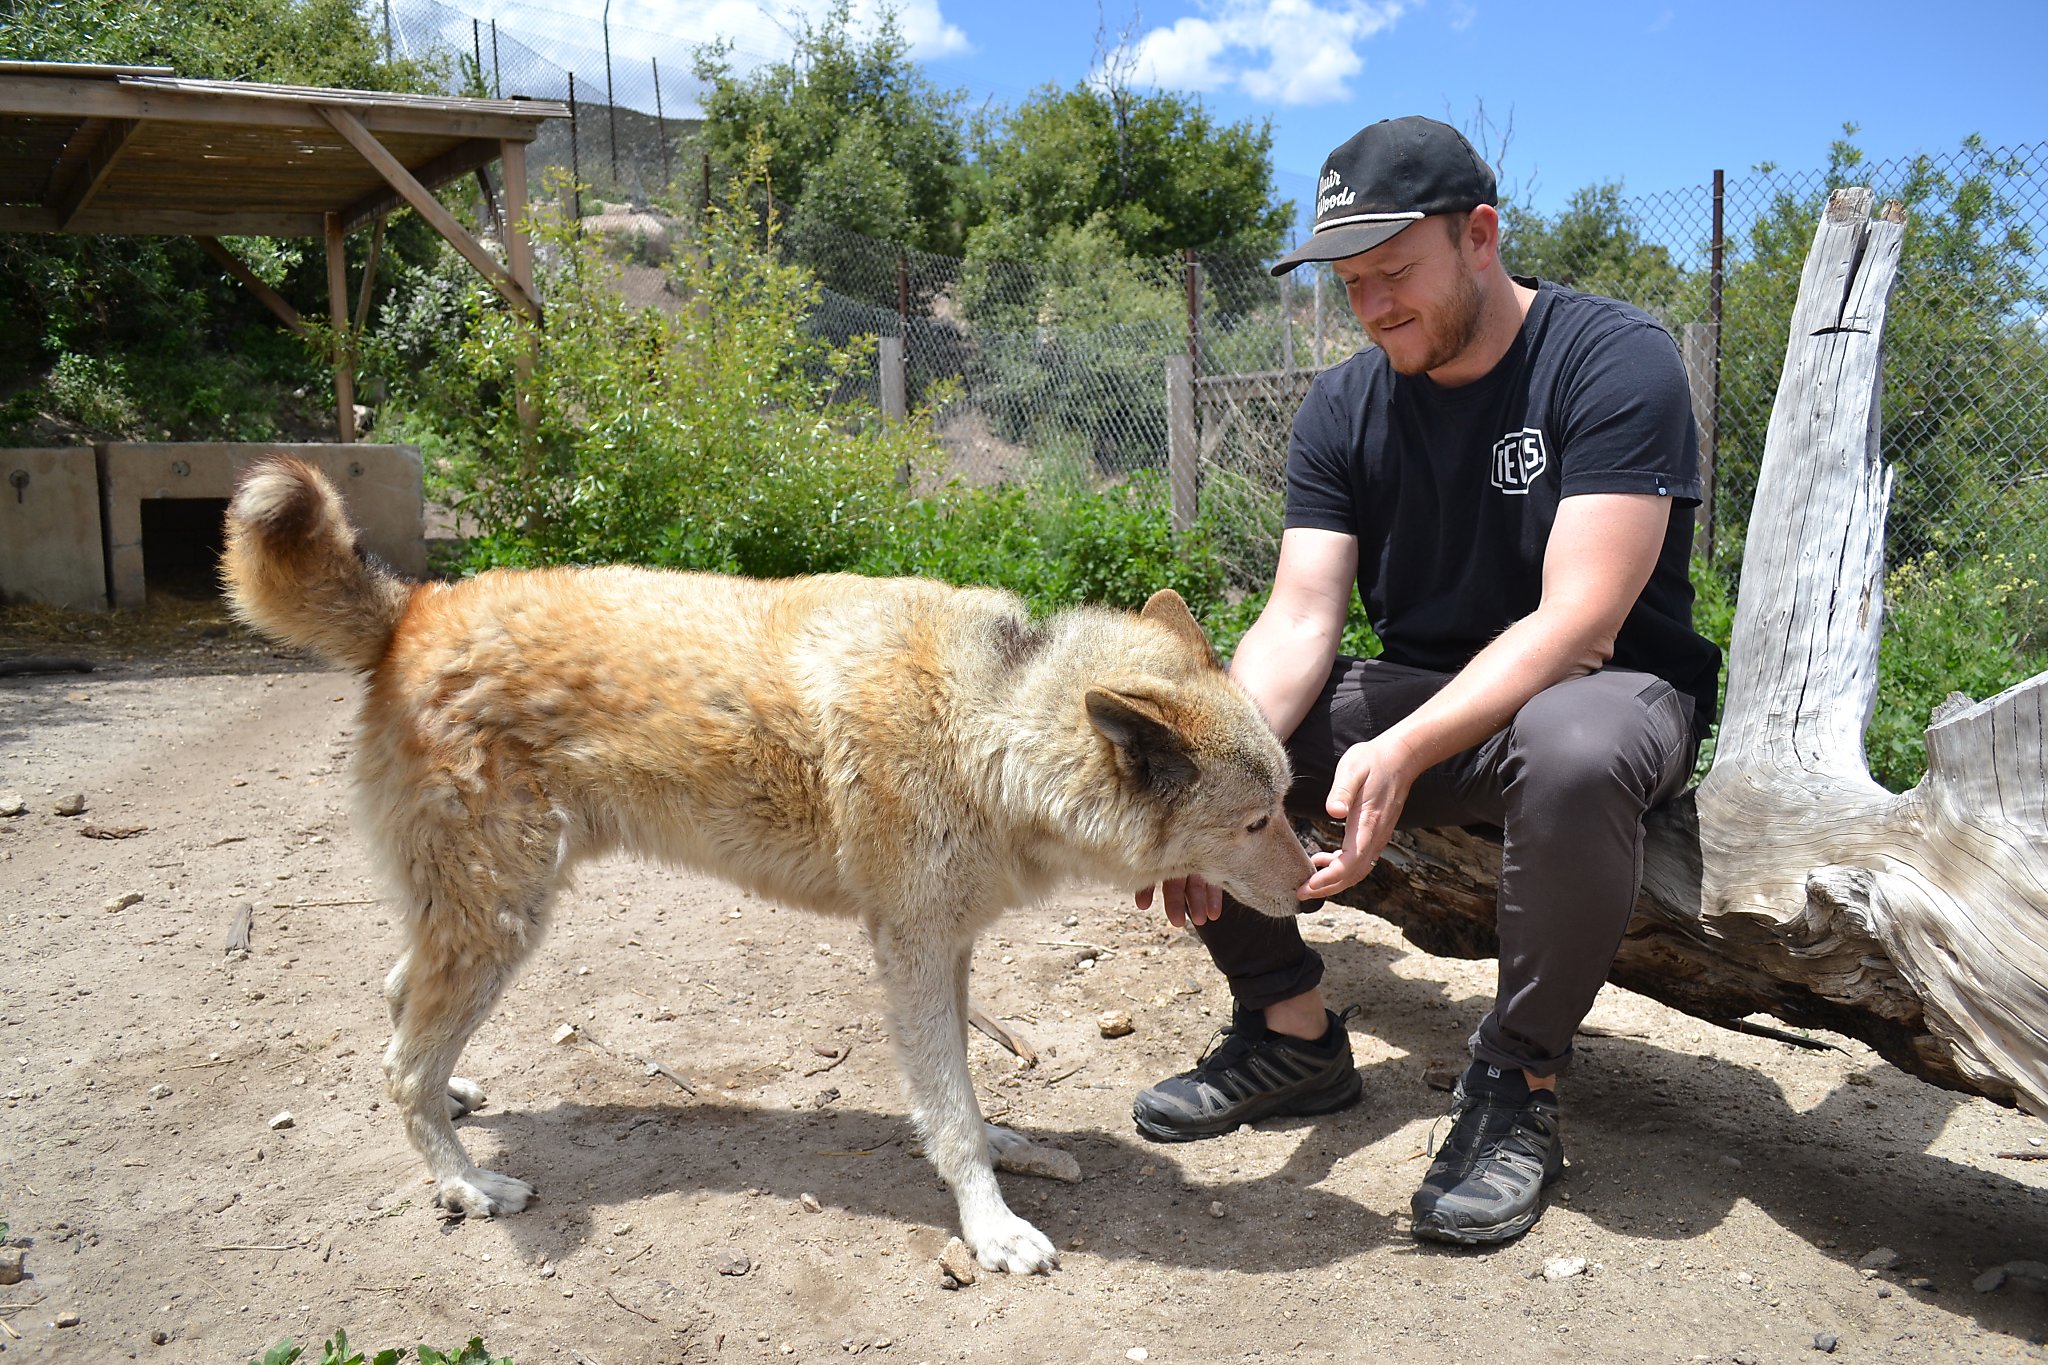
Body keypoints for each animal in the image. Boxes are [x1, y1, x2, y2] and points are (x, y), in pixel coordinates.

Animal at [220, 456, 1315, 1274]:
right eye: (1258, 820)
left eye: (1283, 805)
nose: (1314, 882)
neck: (988, 723)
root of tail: (412, 609)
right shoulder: (912, 948)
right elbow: (949, 1108)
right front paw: (991, 1225)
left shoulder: (947, 944)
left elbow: (958, 1087)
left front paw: (1003, 1150)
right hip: (504, 921)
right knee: (400, 1059)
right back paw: (464, 1183)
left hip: (479, 918)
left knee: (398, 1001)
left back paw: (453, 1106)